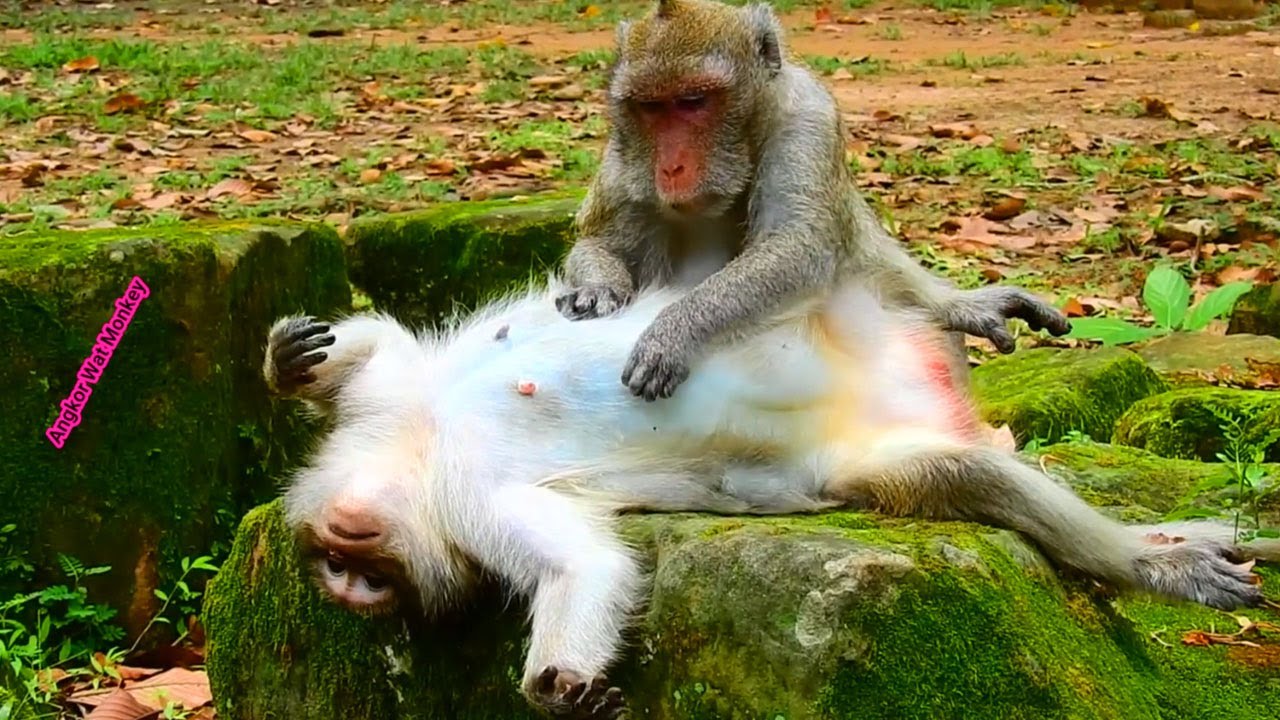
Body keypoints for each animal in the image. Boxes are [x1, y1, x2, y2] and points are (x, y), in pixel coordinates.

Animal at [263, 275, 1260, 720]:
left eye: (358, 567)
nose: (345, 582)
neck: (421, 443)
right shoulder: (465, 501)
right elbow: (585, 565)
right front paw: (562, 688)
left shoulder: (433, 452)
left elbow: (376, 349)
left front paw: (287, 364)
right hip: (872, 440)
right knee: (960, 473)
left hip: (842, 318)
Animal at [554, 0, 1071, 402]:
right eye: (650, 107)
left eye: (693, 101)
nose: (671, 168)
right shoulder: (626, 150)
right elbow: (602, 243)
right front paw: (598, 287)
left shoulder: (806, 120)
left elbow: (798, 247)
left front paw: (674, 330)